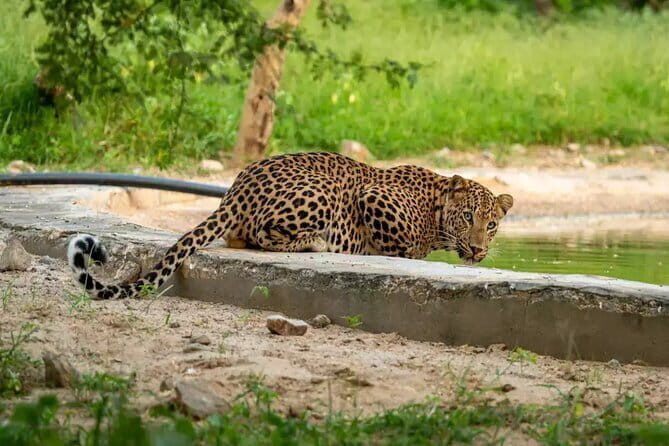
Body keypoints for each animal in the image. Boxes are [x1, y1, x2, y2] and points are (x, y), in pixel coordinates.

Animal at [68, 152, 513, 299]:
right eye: (468, 217)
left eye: (492, 224)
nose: (478, 249)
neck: (435, 206)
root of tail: (236, 189)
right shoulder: (373, 195)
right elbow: (404, 246)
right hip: (324, 192)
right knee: (266, 235)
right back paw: (317, 242)